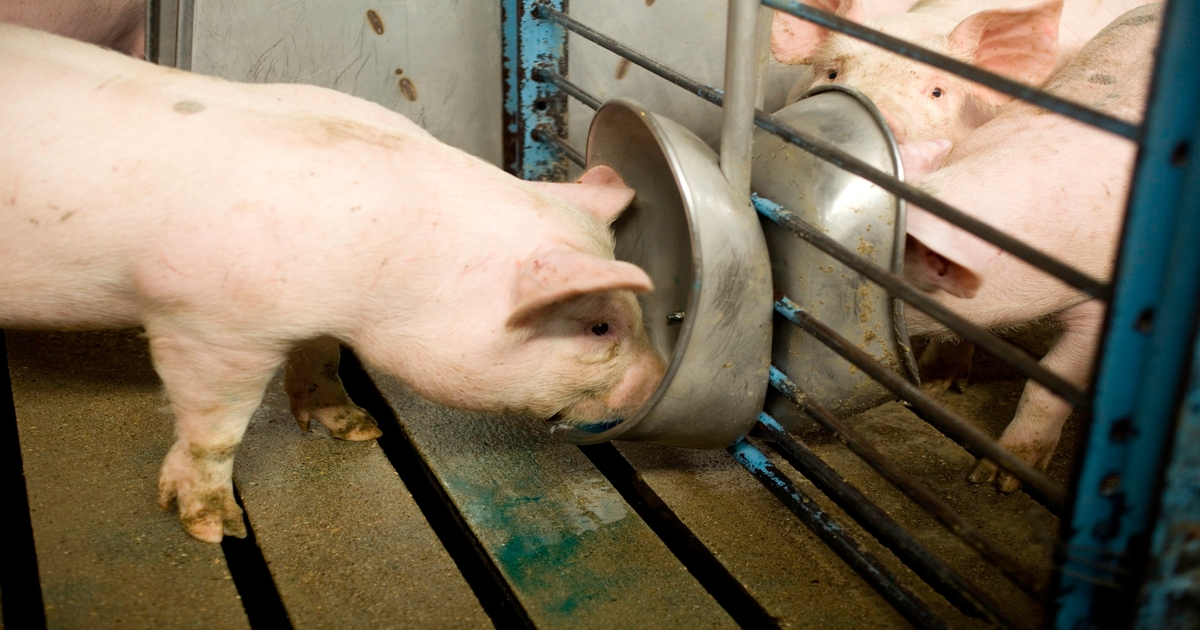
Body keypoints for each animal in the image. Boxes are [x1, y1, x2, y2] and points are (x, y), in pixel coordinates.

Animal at [0, 24, 666, 542]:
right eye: (600, 326)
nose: (658, 378)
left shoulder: (314, 317)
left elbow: (321, 358)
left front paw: (359, 429)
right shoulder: (205, 325)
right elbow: (216, 430)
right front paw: (217, 529)